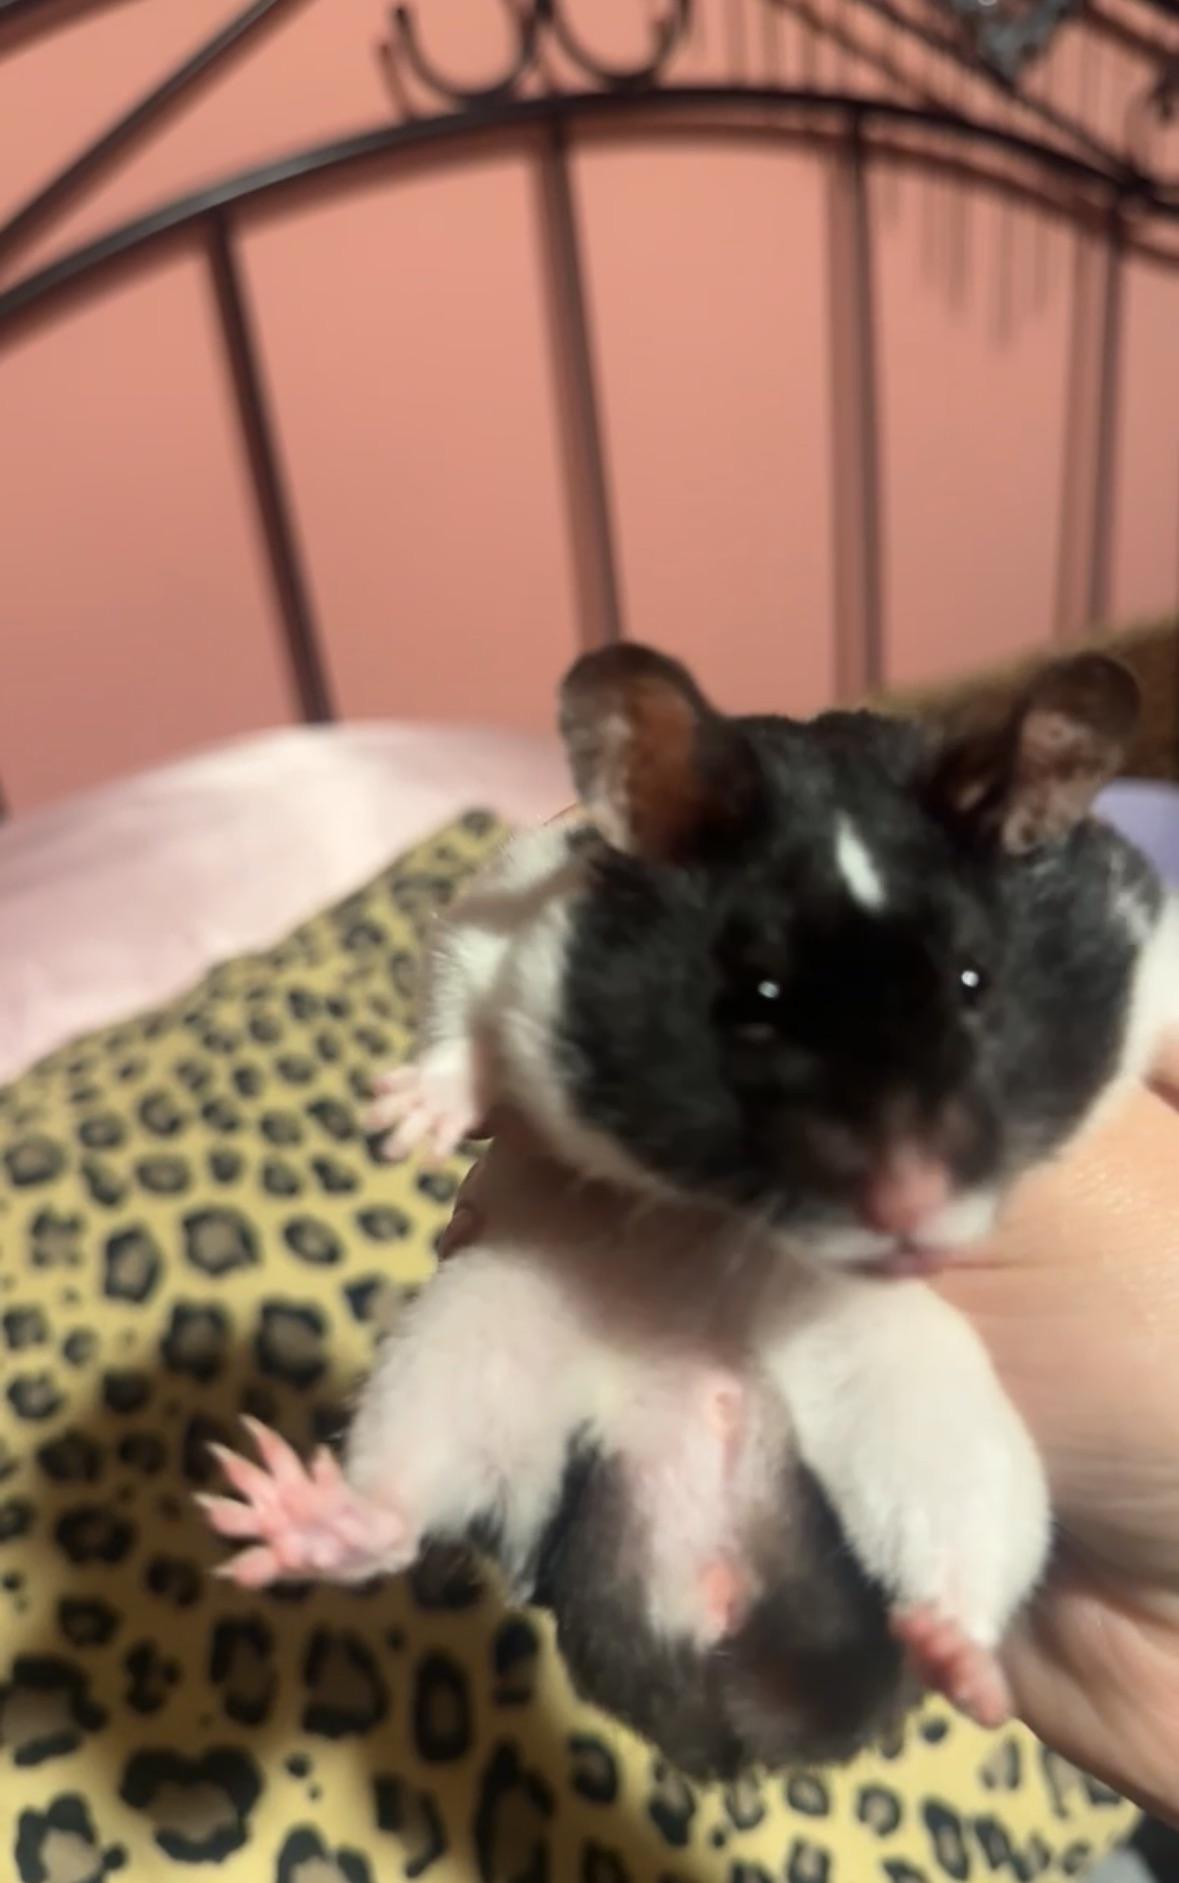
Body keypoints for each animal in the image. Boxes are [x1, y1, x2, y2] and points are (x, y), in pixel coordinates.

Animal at [204, 643, 1178, 1776]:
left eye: (976, 981)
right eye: (755, 996)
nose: (911, 1212)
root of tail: (708, 1588)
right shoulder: (504, 922)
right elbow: (460, 1023)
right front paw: (410, 1121)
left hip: (933, 1416)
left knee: (963, 1555)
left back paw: (956, 1655)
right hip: (481, 1331)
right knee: (402, 1507)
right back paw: (284, 1509)